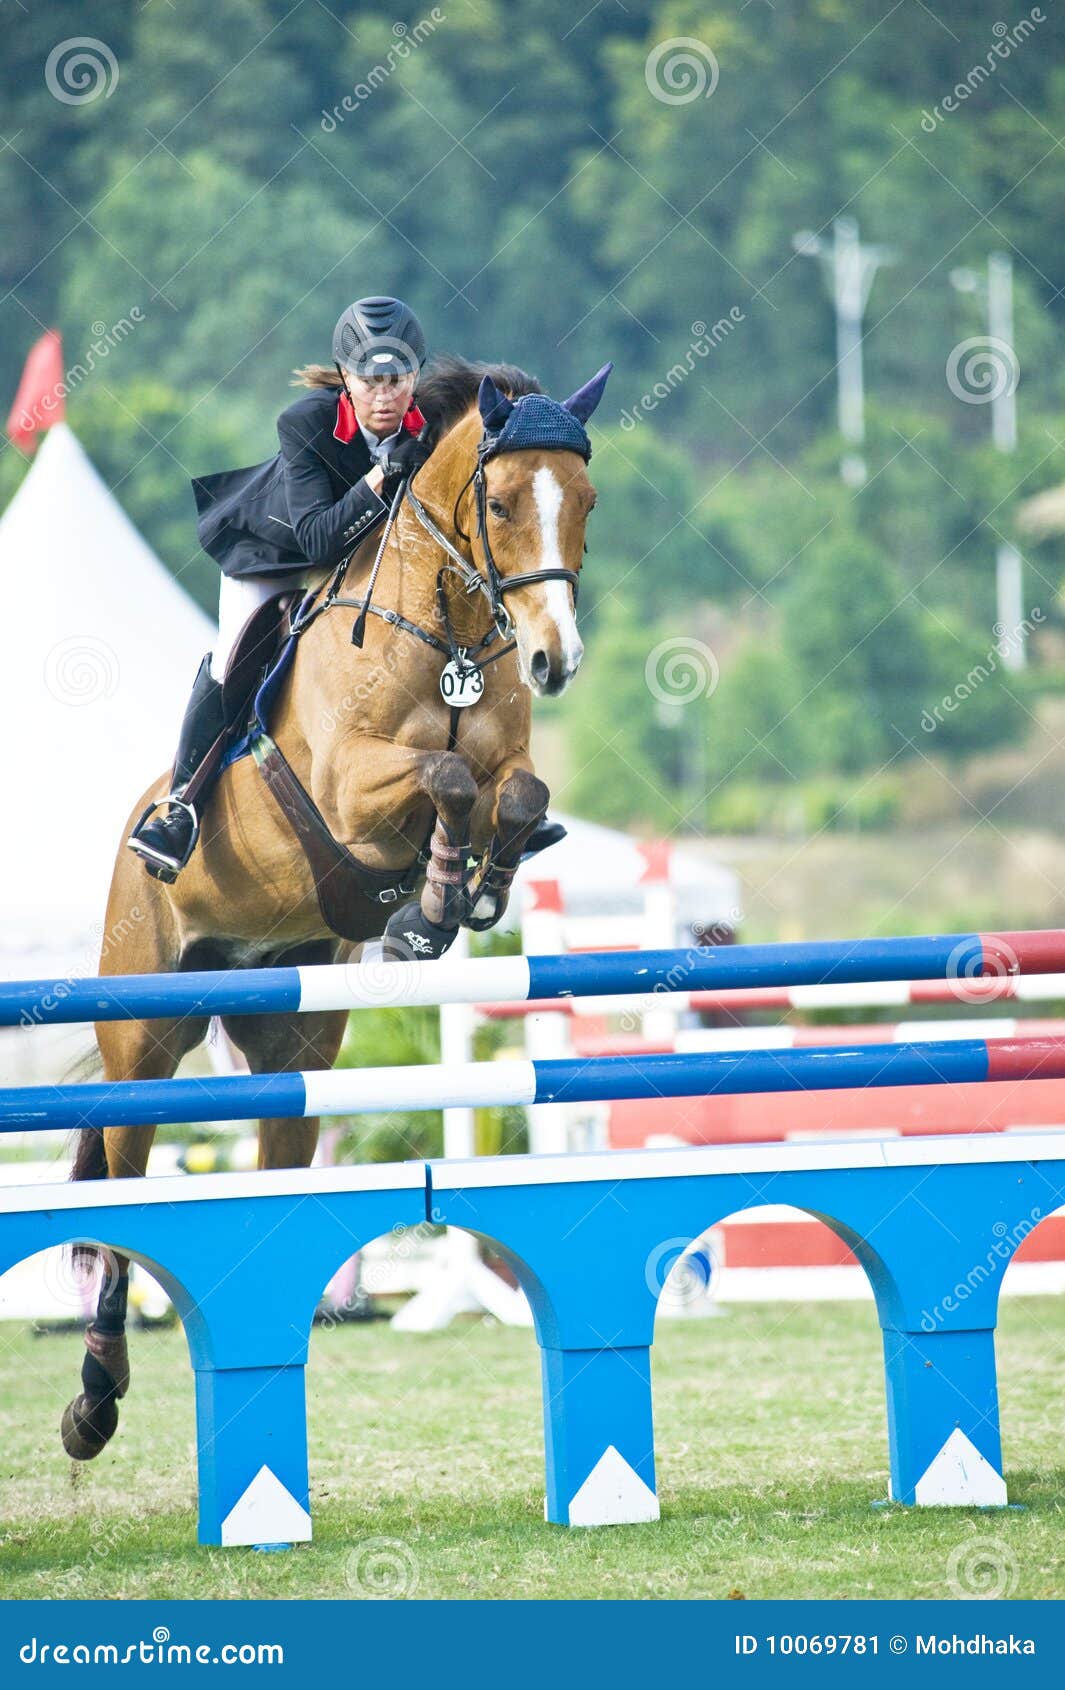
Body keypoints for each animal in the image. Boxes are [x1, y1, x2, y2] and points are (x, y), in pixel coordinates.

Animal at [60, 356, 609, 1462]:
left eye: (585, 502)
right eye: (496, 503)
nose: (553, 661)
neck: (444, 630)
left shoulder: (506, 766)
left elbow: (513, 794)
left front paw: (465, 892)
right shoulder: (352, 791)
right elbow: (443, 775)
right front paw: (426, 908)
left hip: (291, 1040)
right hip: (142, 1033)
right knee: (123, 1194)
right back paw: (94, 1402)